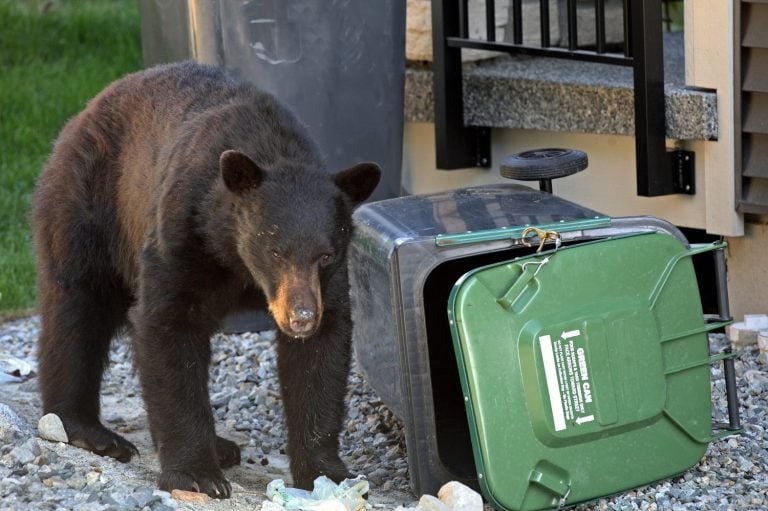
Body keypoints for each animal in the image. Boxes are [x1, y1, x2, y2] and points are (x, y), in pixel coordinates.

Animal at [31, 61, 381, 498]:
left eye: (326, 255)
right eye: (276, 251)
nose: (300, 318)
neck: (235, 259)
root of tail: (82, 112)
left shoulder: (326, 281)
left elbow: (321, 352)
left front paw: (327, 474)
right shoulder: (183, 231)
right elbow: (167, 324)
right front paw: (197, 474)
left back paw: (220, 445)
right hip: (88, 205)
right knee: (77, 307)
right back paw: (86, 431)